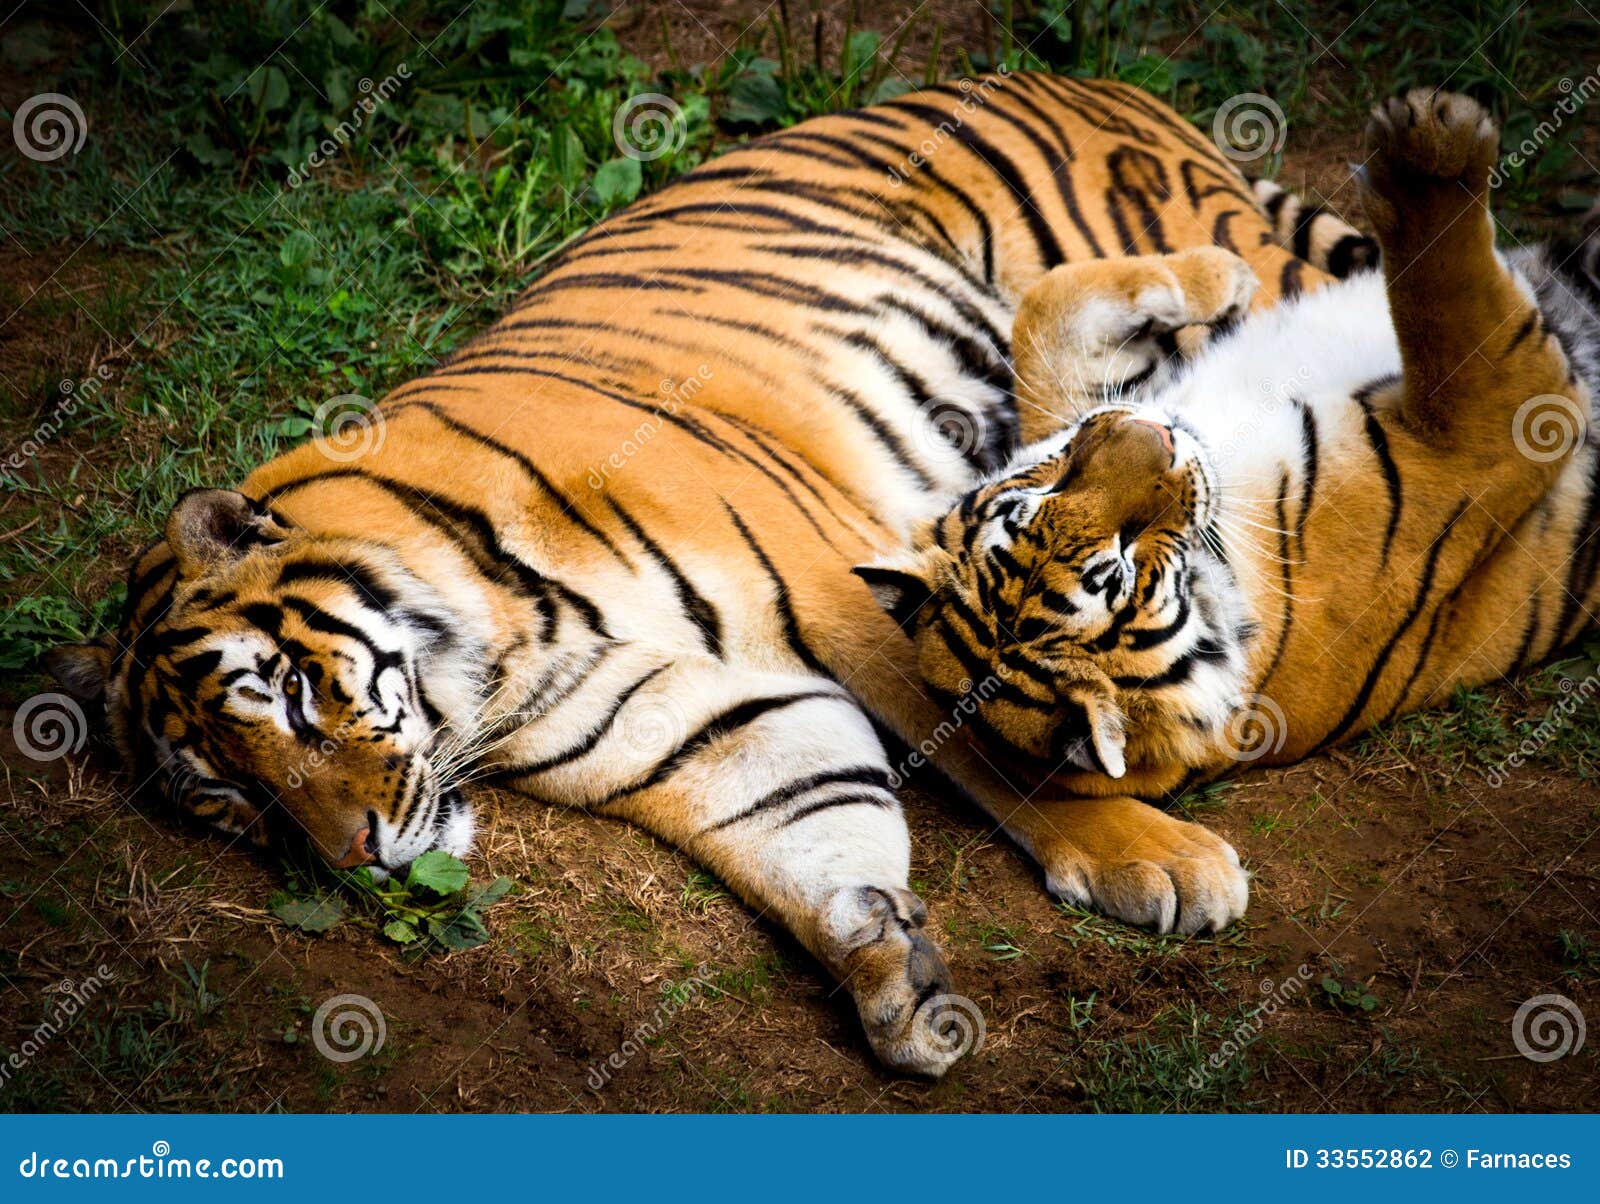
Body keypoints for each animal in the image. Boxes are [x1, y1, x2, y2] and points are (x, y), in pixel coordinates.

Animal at [46, 72, 1406, 1078]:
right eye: (230, 801)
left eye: (285, 694)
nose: (361, 860)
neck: (502, 663)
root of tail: (1103, 82)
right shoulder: (704, 727)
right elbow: (813, 830)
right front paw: (890, 972)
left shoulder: (843, 590)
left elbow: (988, 750)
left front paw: (1153, 861)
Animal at [859, 91, 1600, 841]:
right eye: (1119, 566)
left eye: (1044, 496)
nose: (1150, 435)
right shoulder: (1498, 424)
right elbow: (1444, 300)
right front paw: (1430, 147)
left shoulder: (1099, 398)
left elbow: (1044, 308)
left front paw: (1216, 276)